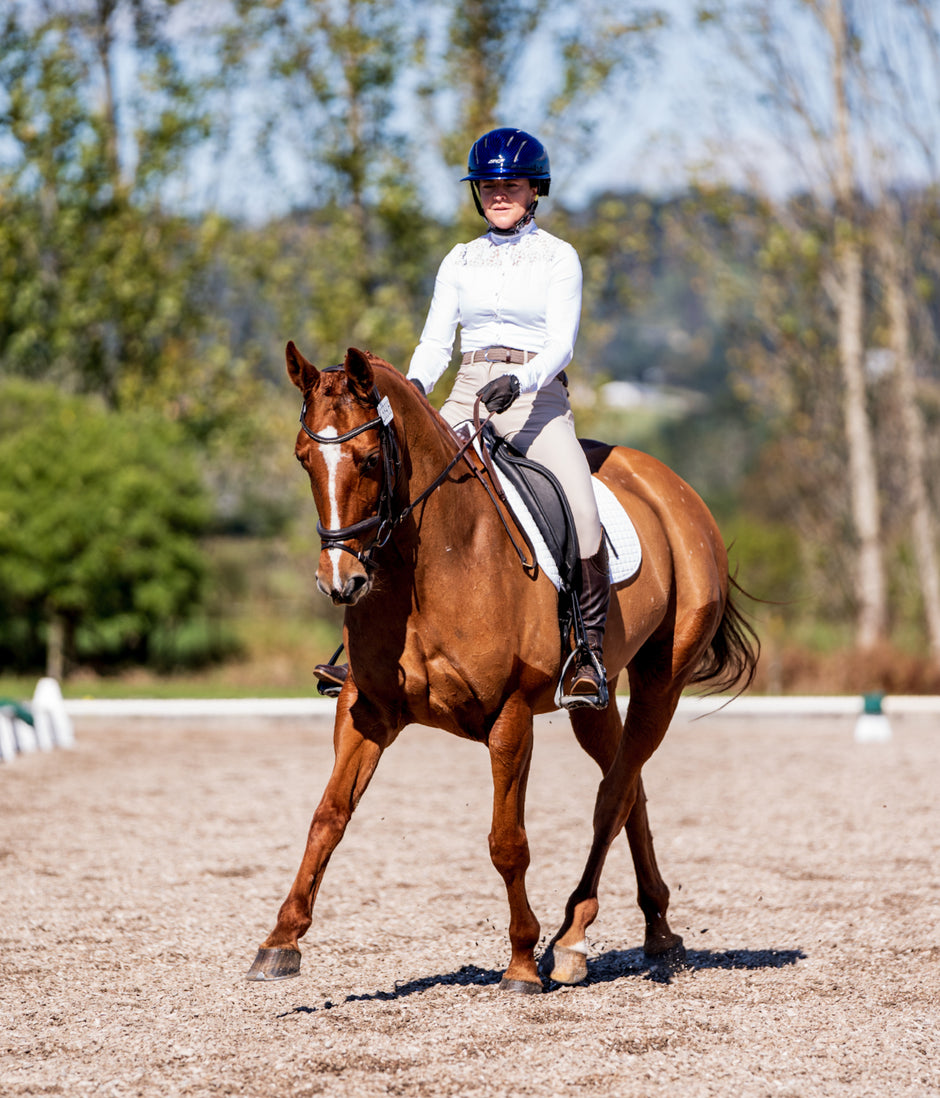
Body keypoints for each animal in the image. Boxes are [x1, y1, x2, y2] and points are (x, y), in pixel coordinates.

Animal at [246, 343, 759, 993]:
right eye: (303, 458)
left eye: (368, 460)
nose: (341, 582)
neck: (432, 561)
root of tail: (673, 487)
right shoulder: (367, 713)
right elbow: (327, 818)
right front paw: (279, 941)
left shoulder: (509, 716)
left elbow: (507, 841)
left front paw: (521, 960)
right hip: (595, 698)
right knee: (629, 787)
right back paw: (657, 932)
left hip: (661, 681)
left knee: (612, 795)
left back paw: (570, 939)